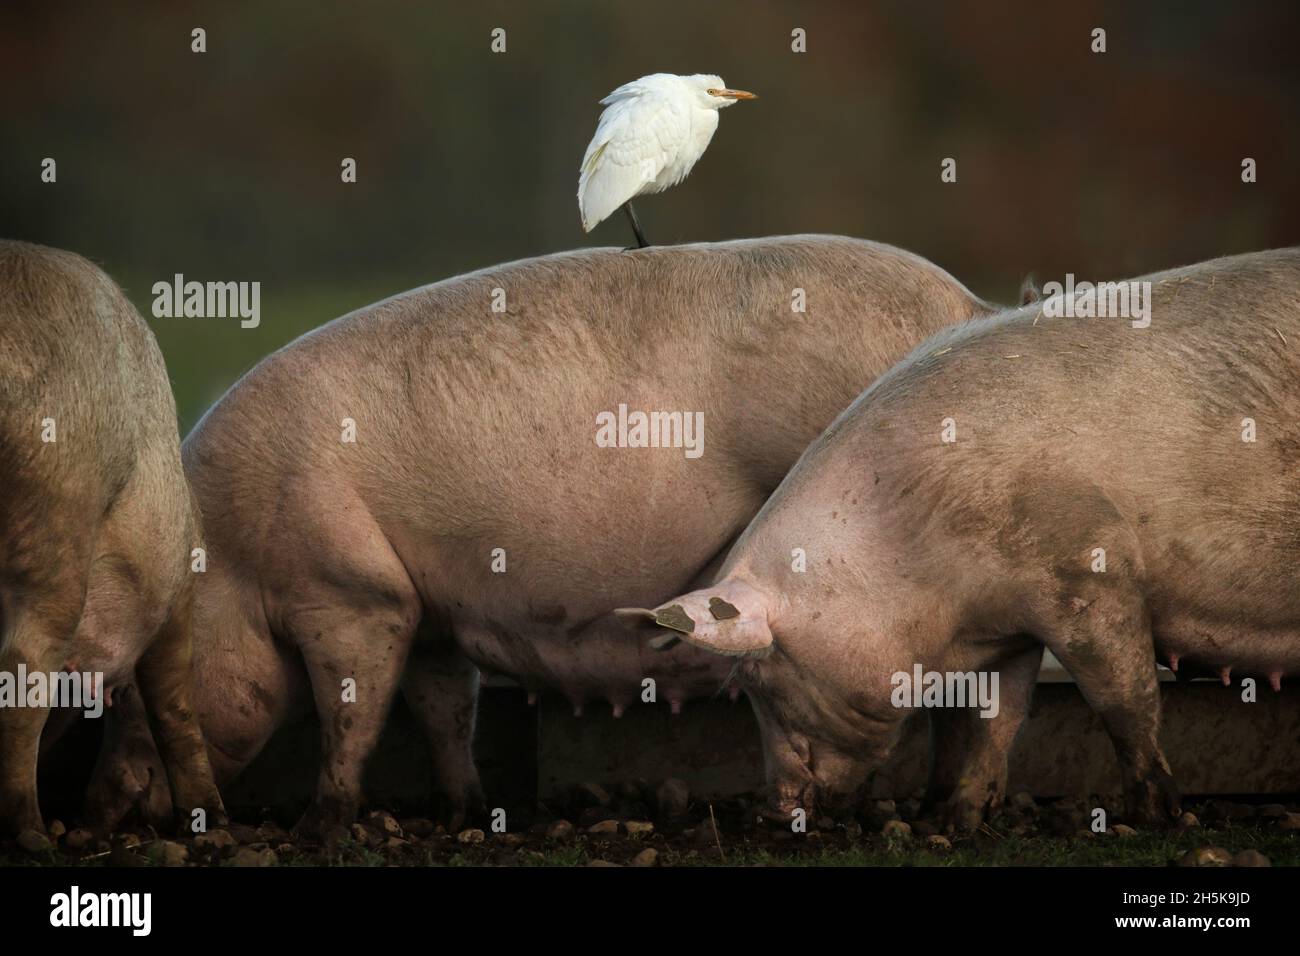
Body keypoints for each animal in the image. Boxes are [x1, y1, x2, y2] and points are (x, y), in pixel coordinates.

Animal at [0, 240, 225, 836]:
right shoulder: (177, 593)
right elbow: (175, 703)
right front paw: (212, 820)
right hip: (59, 509)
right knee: (23, 666)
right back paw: (32, 835)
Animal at [88, 236, 996, 835]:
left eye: (129, 692)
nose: (112, 804)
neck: (233, 562)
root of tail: (973, 306)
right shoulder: (429, 610)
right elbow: (444, 708)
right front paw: (459, 808)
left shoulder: (353, 593)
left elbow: (354, 713)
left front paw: (328, 823)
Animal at [631, 248, 1300, 831]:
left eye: (756, 677)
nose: (772, 812)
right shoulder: (1008, 628)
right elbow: (988, 720)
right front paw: (951, 820)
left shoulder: (1089, 571)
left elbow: (1124, 700)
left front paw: (1158, 817)